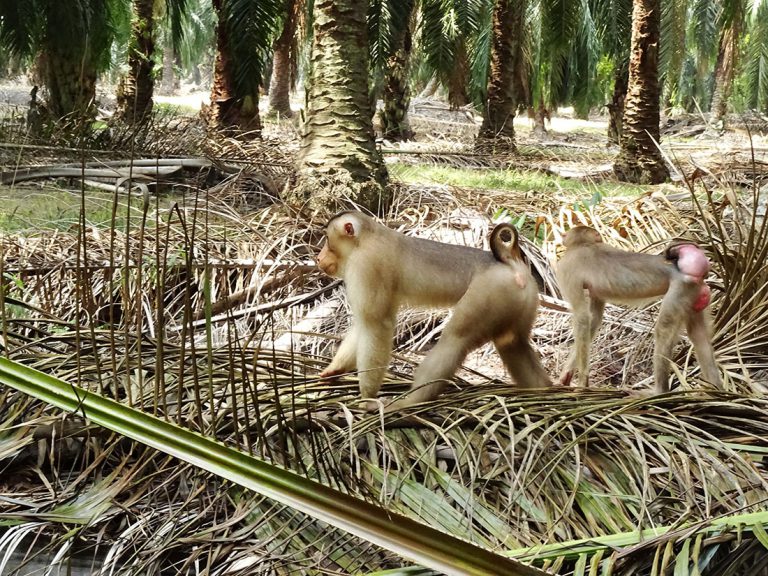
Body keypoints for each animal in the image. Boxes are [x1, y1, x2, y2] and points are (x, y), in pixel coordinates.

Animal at [316, 211, 551, 411]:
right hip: (520, 299)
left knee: (455, 339)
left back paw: (412, 401)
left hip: (490, 292)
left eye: (327, 240)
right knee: (512, 342)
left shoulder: (367, 265)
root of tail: (510, 264)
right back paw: (545, 393)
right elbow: (367, 323)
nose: (318, 257)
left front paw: (367, 397)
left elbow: (375, 325)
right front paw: (335, 369)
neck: (366, 239)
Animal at [556, 226, 722, 393]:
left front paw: (582, 382)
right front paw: (567, 375)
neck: (583, 244)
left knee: (663, 330)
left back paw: (659, 391)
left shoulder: (565, 267)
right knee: (699, 336)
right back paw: (717, 389)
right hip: (695, 293)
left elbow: (582, 318)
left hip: (681, 289)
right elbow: (593, 320)